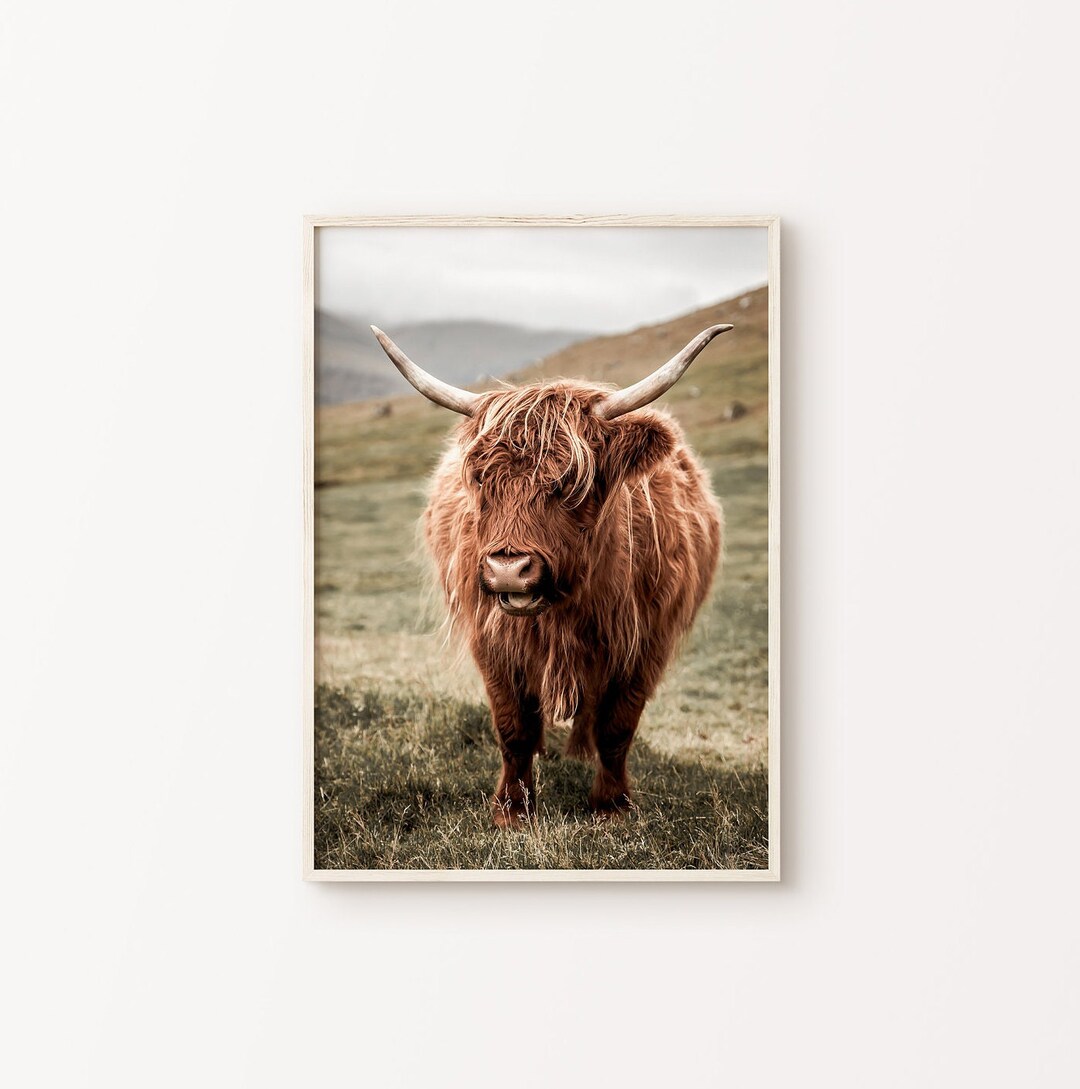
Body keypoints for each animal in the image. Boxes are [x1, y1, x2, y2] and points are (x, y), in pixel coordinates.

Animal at [370, 323, 730, 826]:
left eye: (568, 482)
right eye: (481, 479)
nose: (508, 570)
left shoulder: (646, 643)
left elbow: (617, 727)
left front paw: (612, 806)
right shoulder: (493, 640)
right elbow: (514, 727)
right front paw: (511, 809)